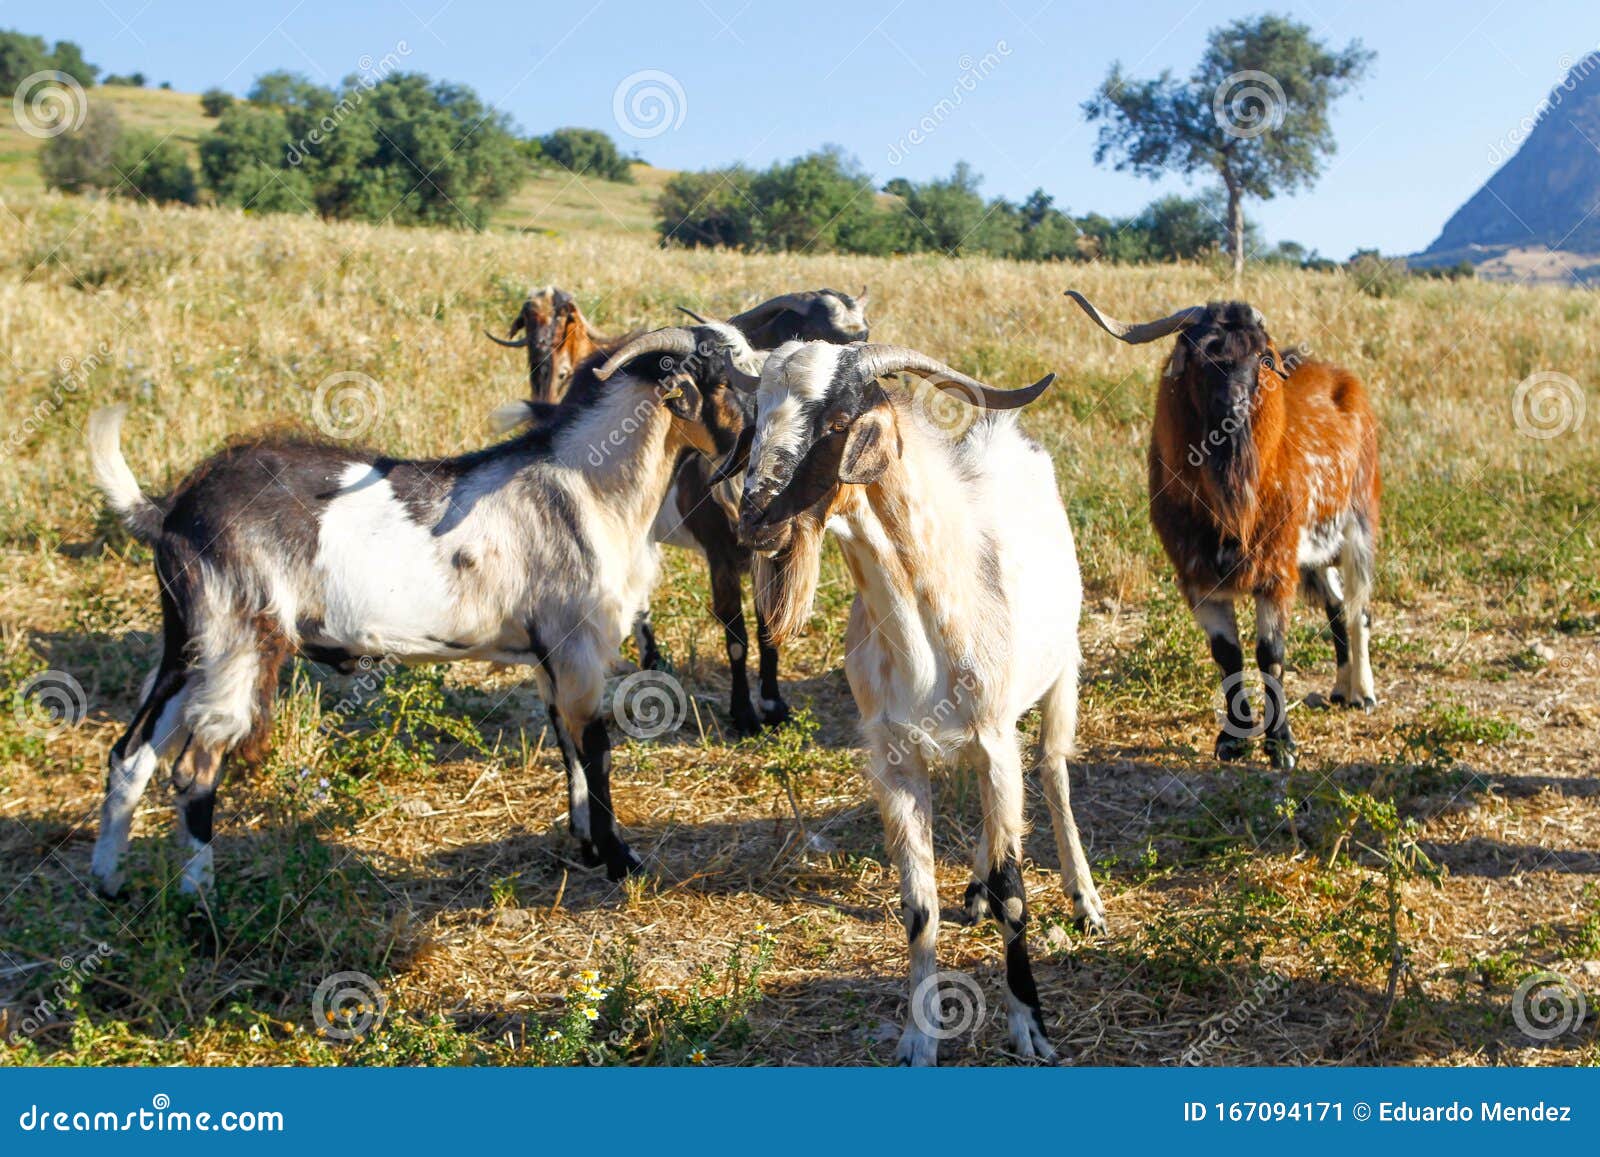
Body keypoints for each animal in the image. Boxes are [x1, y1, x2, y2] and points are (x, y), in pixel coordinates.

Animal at [85, 322, 763, 894]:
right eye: (730, 383)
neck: (587, 488)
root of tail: (170, 511)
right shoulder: (579, 646)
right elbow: (594, 747)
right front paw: (621, 859)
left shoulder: (552, 658)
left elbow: (566, 743)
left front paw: (588, 846)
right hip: (238, 641)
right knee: (194, 769)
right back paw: (200, 904)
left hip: (188, 642)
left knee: (131, 754)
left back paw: (109, 884)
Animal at [485, 287, 870, 734]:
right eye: (721, 382)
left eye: (863, 335)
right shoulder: (721, 557)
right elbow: (736, 637)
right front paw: (744, 715)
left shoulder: (766, 555)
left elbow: (767, 629)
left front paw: (774, 707)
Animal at [734, 340, 1098, 1065]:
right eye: (756, 412)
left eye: (836, 419)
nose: (754, 520)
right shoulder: (896, 759)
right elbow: (918, 902)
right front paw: (918, 1039)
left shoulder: (994, 738)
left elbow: (1017, 893)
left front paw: (1030, 1026)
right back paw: (977, 890)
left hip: (1060, 676)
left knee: (1052, 773)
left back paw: (1084, 899)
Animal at [1067, 291, 1381, 771]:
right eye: (1202, 355)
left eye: (1263, 358)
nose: (1234, 408)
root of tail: (1339, 377)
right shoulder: (1199, 578)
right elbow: (1227, 655)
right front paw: (1233, 738)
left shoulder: (1276, 571)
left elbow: (1271, 654)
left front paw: (1281, 745)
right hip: (1313, 553)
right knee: (1335, 605)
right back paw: (1341, 689)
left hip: (1357, 524)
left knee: (1359, 606)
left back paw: (1362, 693)